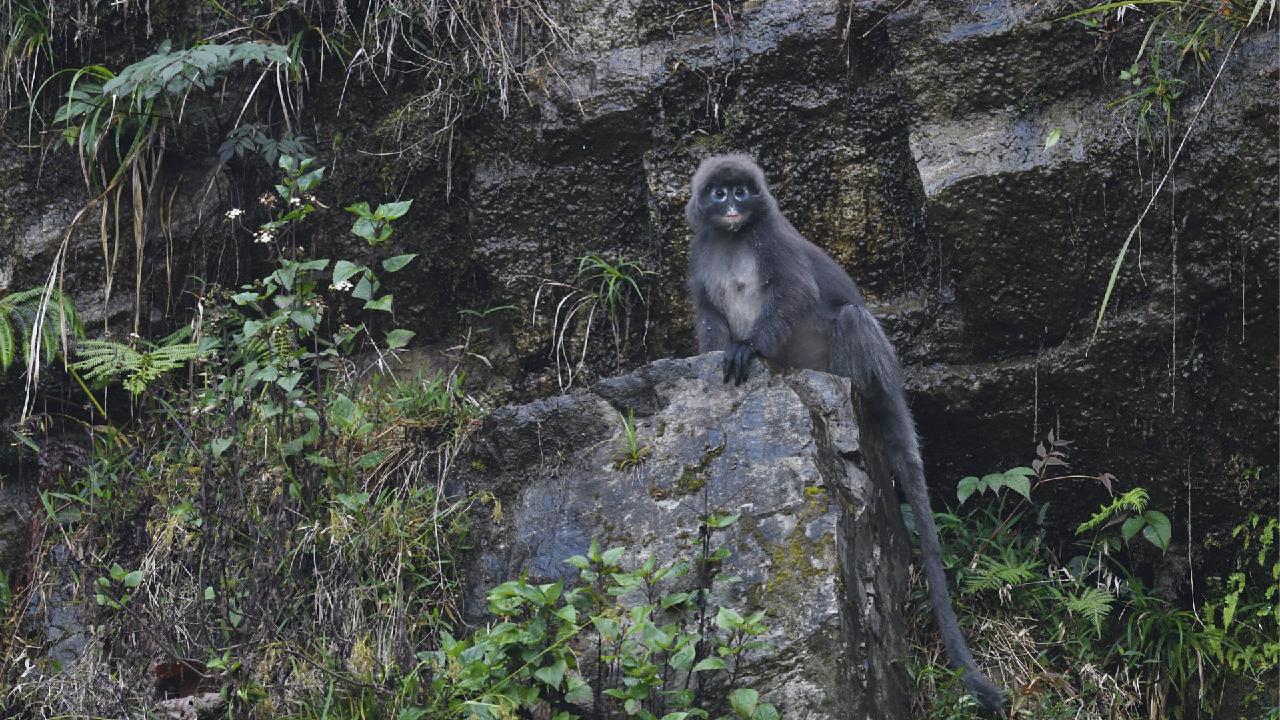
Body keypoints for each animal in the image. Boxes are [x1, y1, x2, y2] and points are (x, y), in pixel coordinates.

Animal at [685, 154, 1004, 715]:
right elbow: (709, 315)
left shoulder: (772, 240)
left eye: (742, 191)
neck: (732, 238)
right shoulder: (702, 251)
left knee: (854, 318)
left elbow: (793, 292)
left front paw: (749, 349)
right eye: (720, 193)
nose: (732, 205)